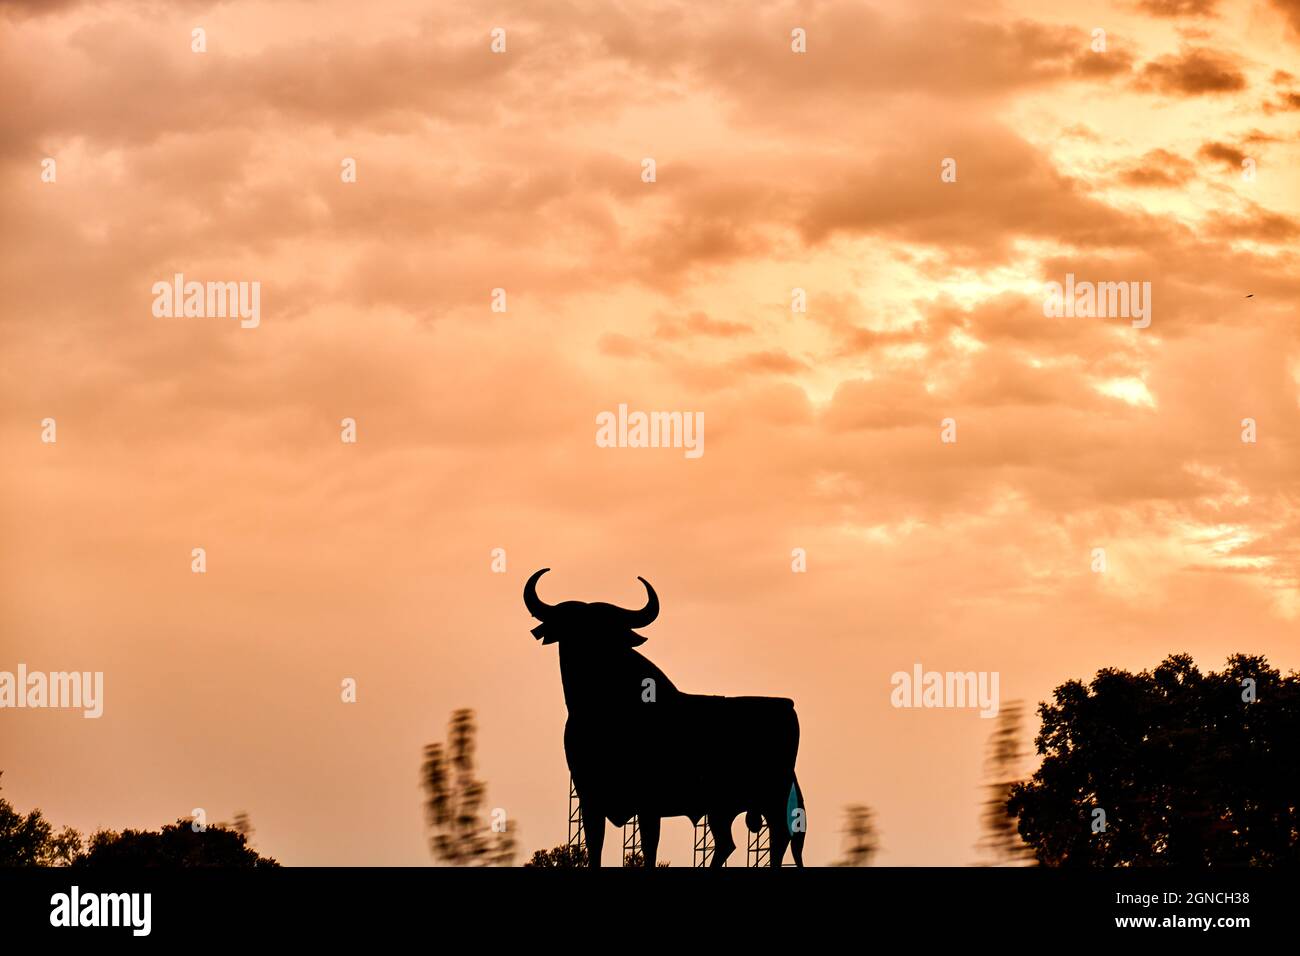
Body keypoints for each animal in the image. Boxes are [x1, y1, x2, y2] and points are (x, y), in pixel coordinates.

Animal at [524, 568, 806, 867]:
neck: (601, 709)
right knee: (727, 842)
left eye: (609, 632)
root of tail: (787, 706)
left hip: (772, 797)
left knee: (778, 837)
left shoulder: (649, 802)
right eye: (571, 629)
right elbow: (594, 847)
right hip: (723, 807)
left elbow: (649, 846)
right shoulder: (590, 797)